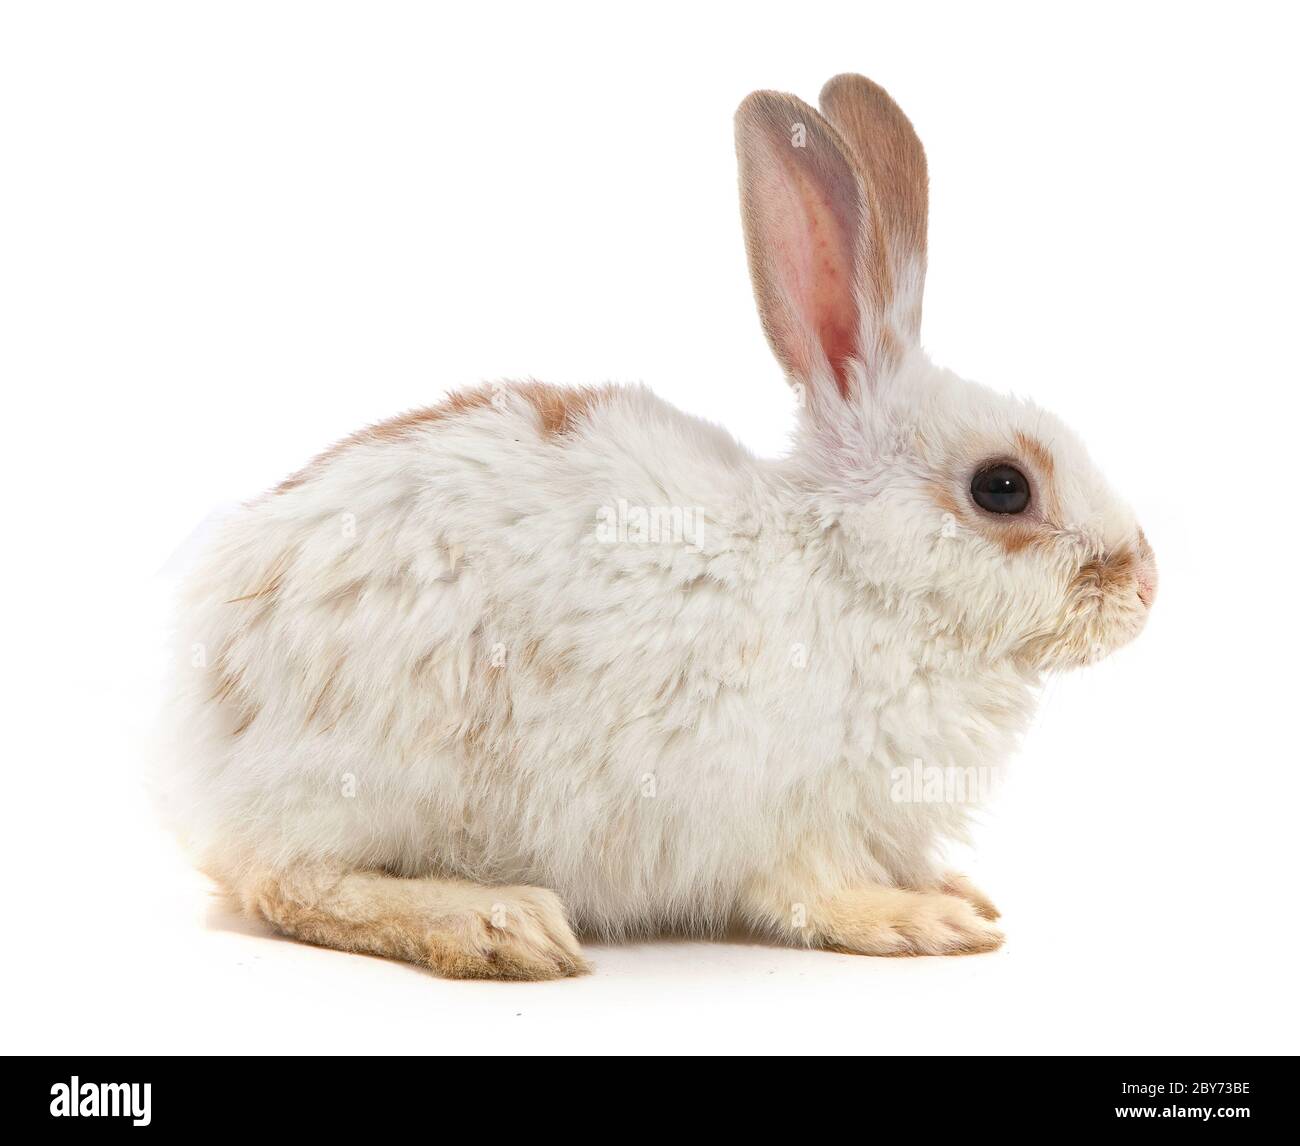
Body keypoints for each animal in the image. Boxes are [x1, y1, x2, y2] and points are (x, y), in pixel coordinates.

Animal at [158, 73, 1156, 980]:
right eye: (1003, 488)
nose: (1145, 585)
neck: (857, 573)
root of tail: (209, 714)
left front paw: (961, 893)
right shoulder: (782, 808)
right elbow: (813, 889)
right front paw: (923, 923)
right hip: (377, 765)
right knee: (283, 881)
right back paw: (498, 926)